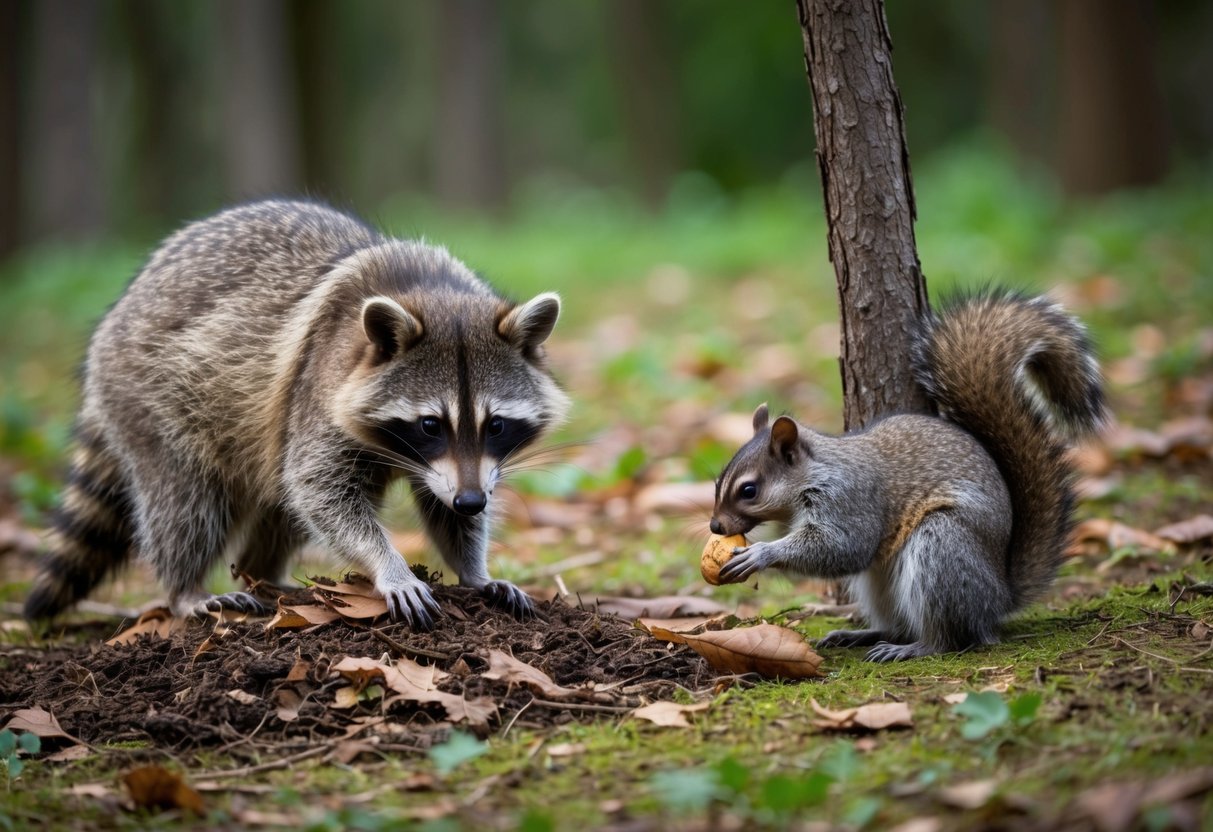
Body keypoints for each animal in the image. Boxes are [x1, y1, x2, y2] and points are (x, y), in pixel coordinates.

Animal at [24, 199, 570, 627]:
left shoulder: (455, 469)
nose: (472, 502)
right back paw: (184, 588)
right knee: (186, 501)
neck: (432, 291)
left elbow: (437, 508)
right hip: (150, 397)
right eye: (430, 425)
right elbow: (320, 490)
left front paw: (475, 571)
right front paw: (388, 564)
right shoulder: (318, 386)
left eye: (496, 425)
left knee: (279, 506)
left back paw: (268, 577)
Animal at [709, 291, 1106, 661]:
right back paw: (861, 635)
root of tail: (999, 597)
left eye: (749, 490)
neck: (817, 469)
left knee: (953, 637)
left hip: (942, 549)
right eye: (716, 482)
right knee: (898, 623)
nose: (715, 526)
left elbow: (842, 547)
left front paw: (761, 554)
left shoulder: (849, 499)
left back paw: (916, 648)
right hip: (878, 584)